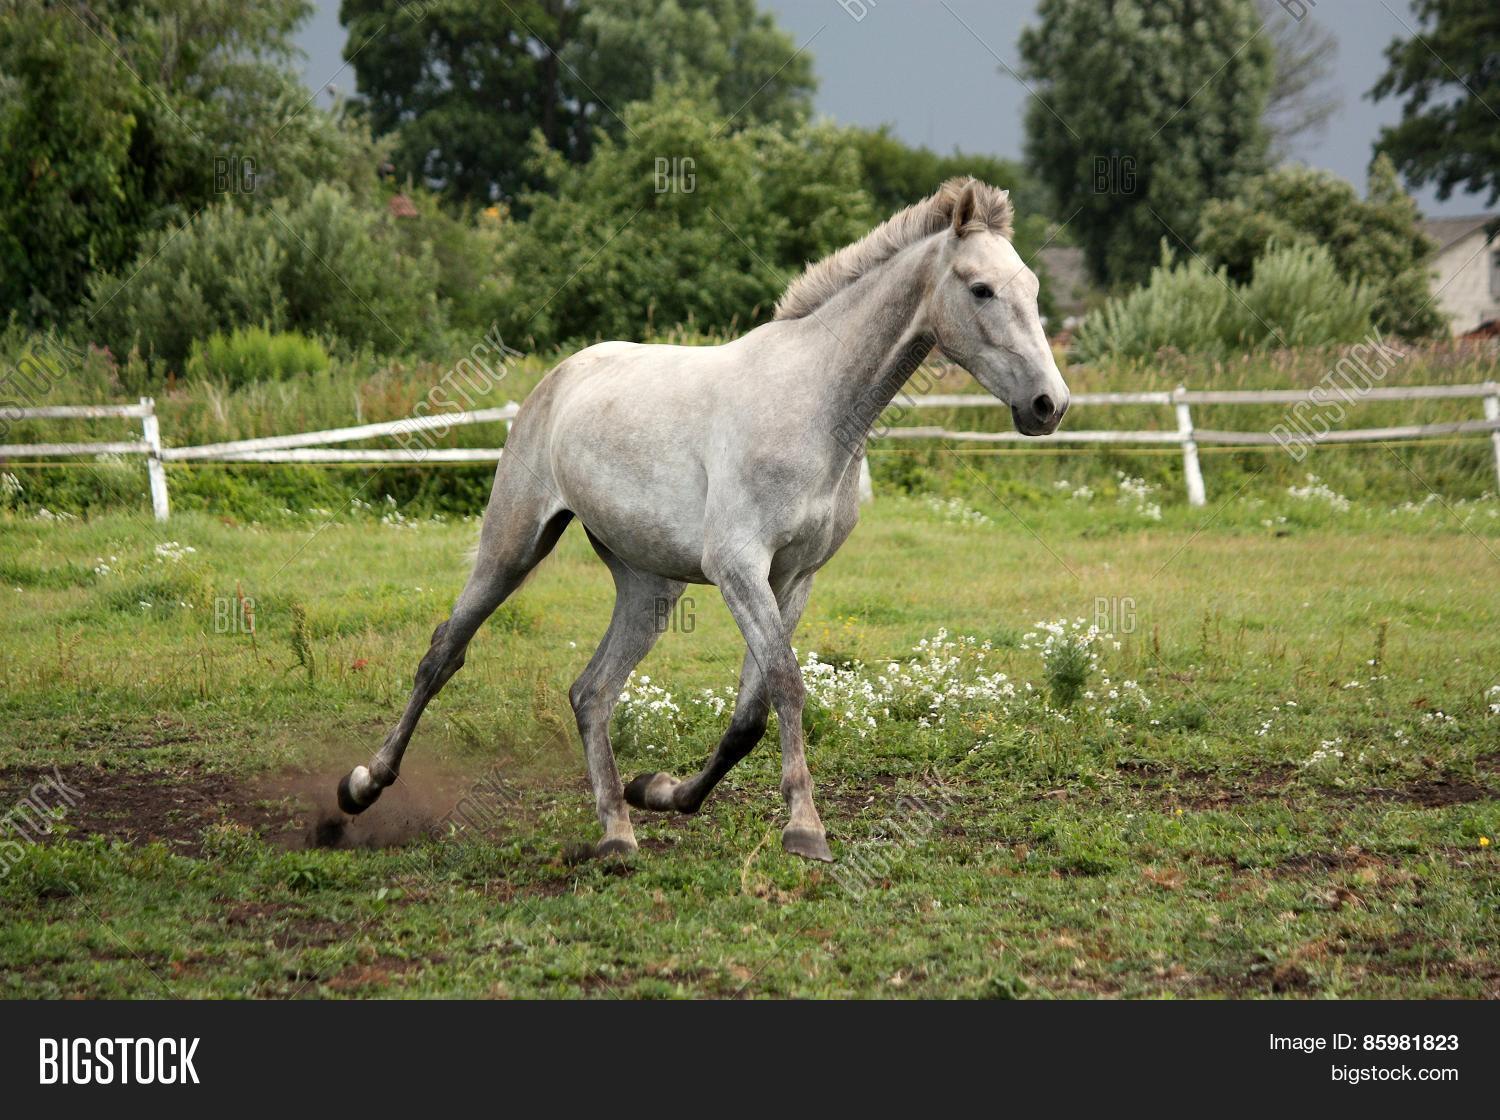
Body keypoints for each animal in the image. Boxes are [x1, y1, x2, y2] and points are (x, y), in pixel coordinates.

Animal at [336, 177, 1070, 862]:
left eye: (1033, 288)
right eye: (980, 289)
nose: (1049, 405)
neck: (816, 405)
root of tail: (560, 376)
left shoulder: (792, 578)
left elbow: (750, 713)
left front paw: (661, 791)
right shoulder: (737, 566)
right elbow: (786, 684)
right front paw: (806, 829)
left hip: (649, 586)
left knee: (591, 693)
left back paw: (617, 831)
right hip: (512, 545)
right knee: (443, 655)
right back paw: (361, 787)